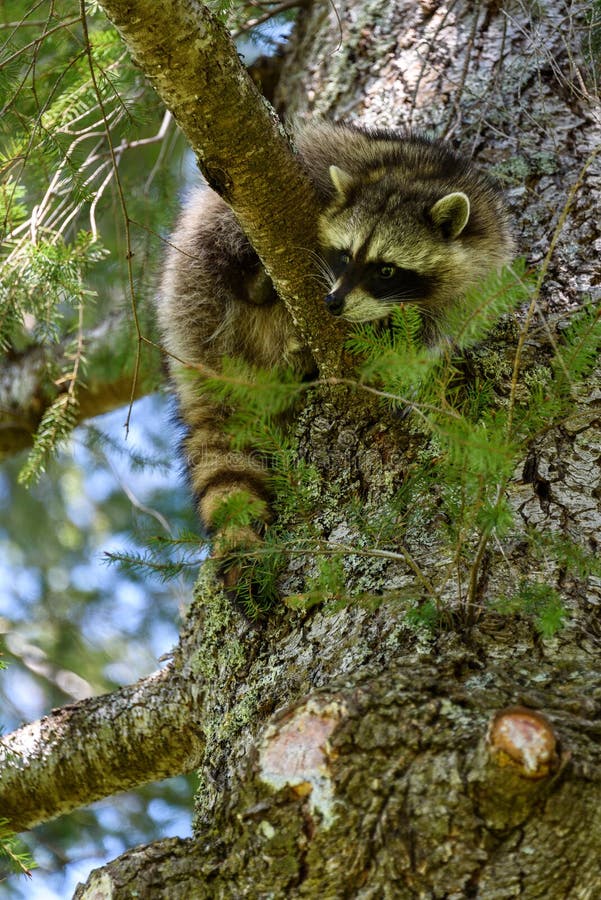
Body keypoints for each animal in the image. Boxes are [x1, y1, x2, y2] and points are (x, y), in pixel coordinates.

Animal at [158, 122, 513, 560]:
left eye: (386, 270)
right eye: (344, 256)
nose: (334, 302)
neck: (417, 178)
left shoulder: (484, 262)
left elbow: (441, 328)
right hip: (195, 263)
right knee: (224, 237)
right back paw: (257, 283)